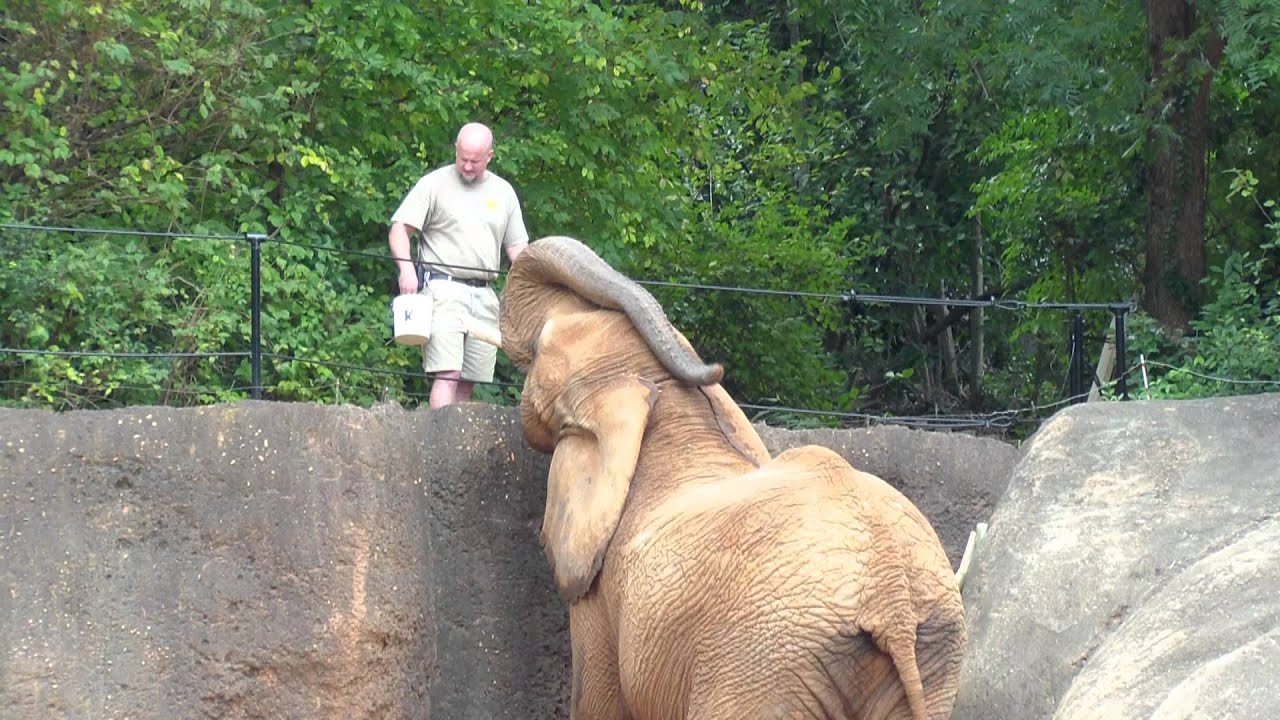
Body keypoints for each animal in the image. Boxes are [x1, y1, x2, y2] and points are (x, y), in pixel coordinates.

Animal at [495, 236, 965, 720]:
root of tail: (891, 600)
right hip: (933, 652)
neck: (664, 393)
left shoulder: (600, 590)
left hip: (763, 663)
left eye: (541, 347)